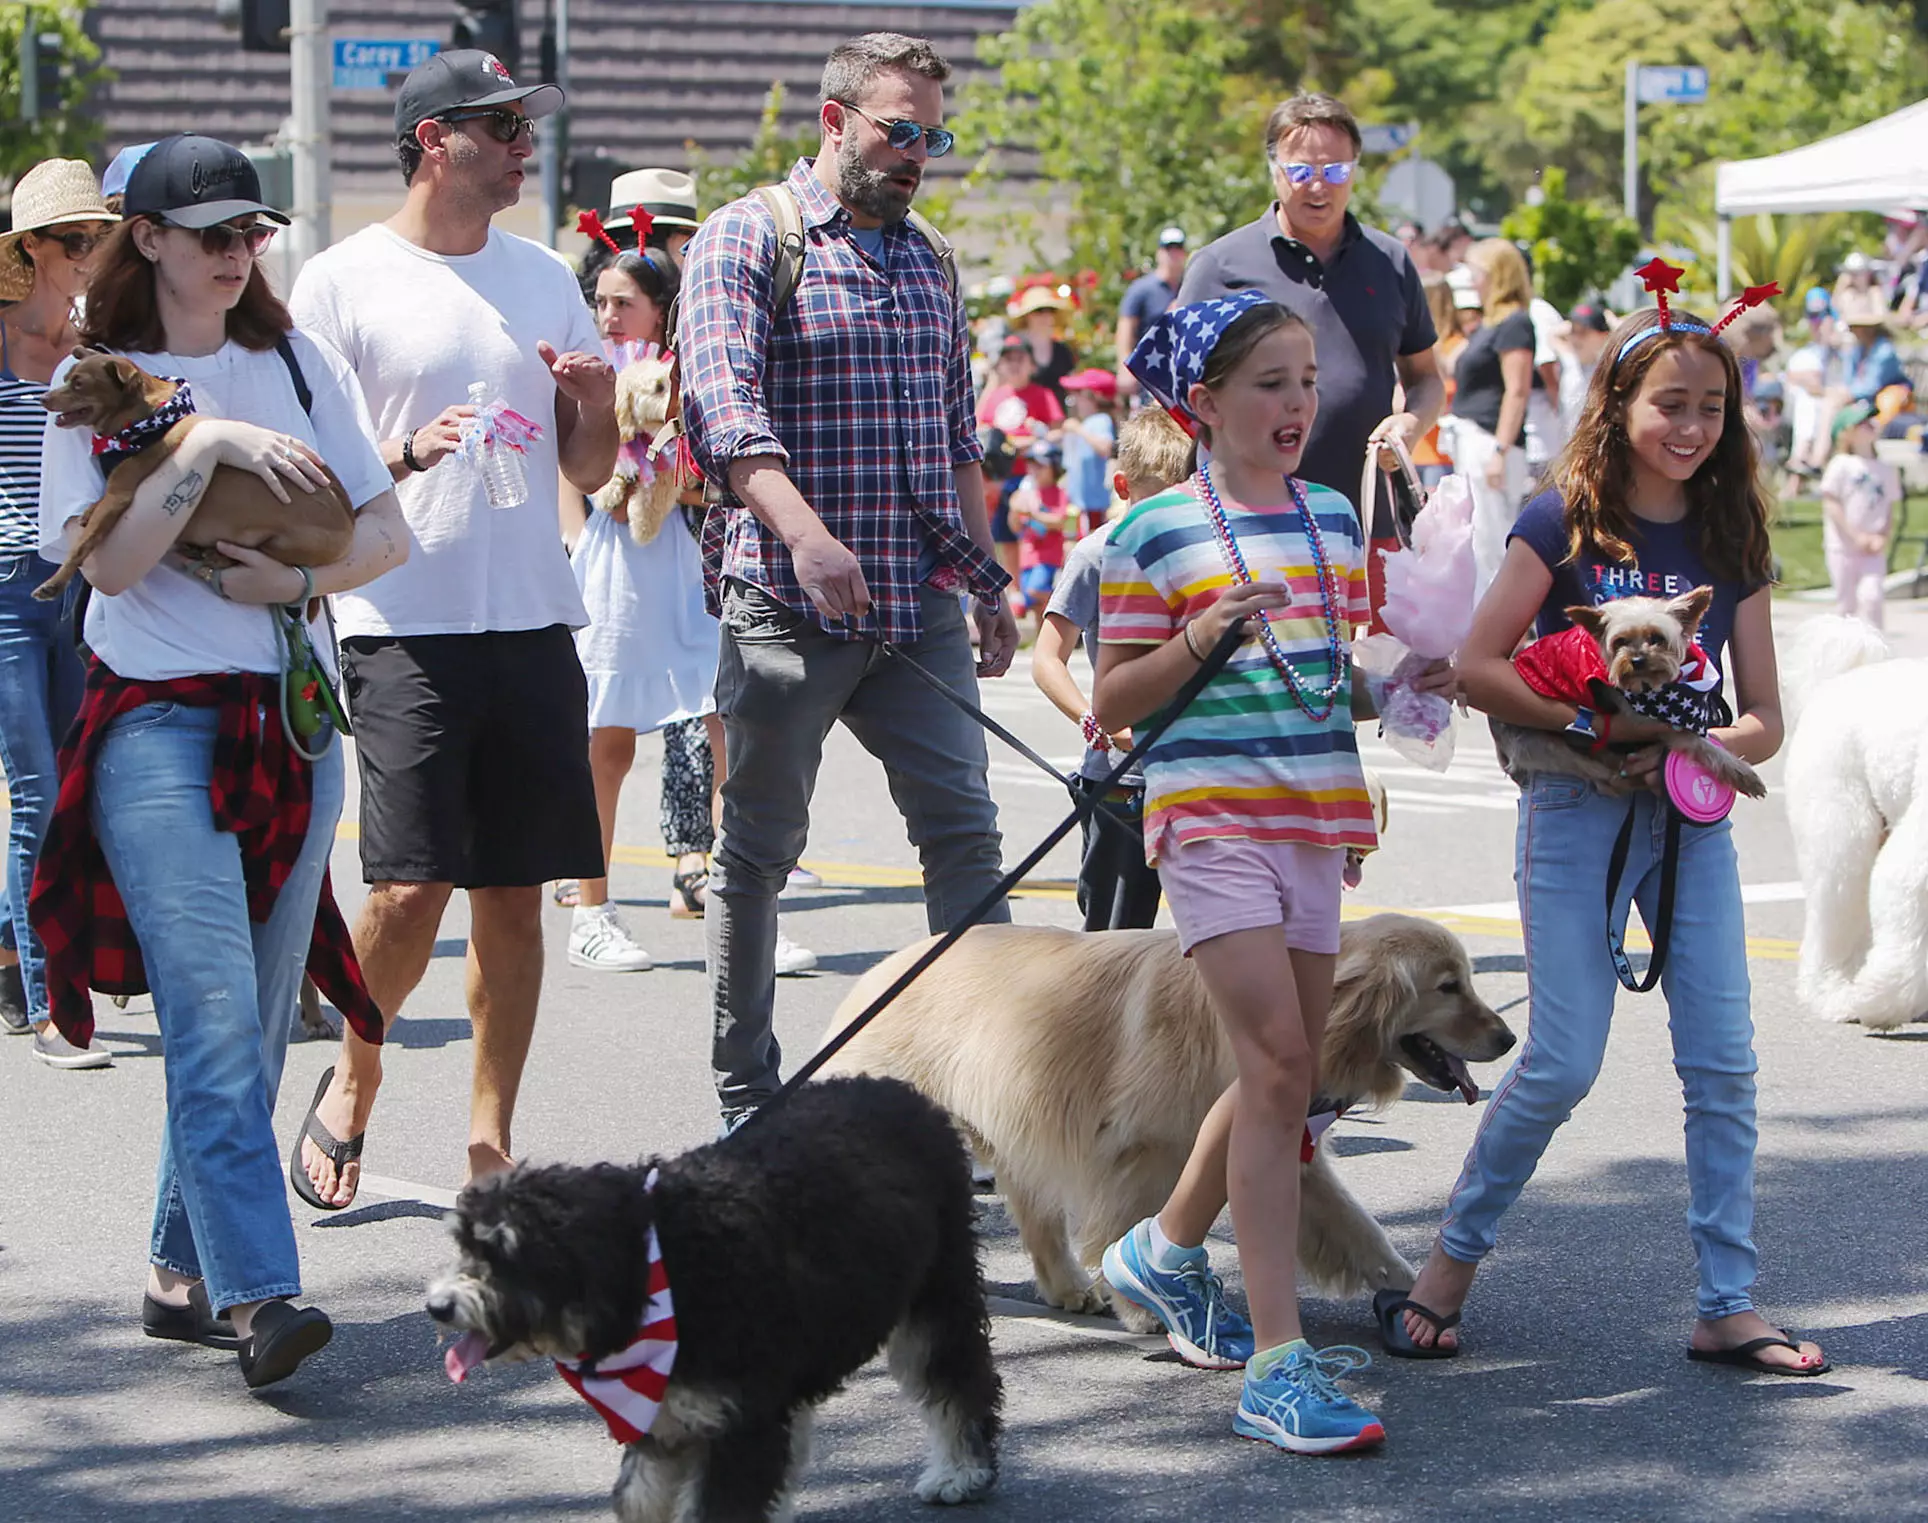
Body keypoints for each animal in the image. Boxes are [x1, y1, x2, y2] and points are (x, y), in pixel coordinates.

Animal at [34, 348, 354, 597]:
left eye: (79, 384)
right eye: (66, 378)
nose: (43, 398)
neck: (141, 423)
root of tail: (349, 521)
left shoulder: (120, 494)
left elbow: (82, 545)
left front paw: (55, 582)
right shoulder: (114, 492)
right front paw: (88, 510)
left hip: (289, 542)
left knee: (267, 557)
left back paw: (215, 555)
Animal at [420, 1079, 994, 1519]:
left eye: (504, 1252)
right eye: (464, 1243)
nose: (438, 1307)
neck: (665, 1264)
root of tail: (901, 1092)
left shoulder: (736, 1424)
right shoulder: (672, 1418)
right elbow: (640, 1498)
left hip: (937, 1299)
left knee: (960, 1381)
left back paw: (961, 1472)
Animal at [821, 917, 1511, 1326]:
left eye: (1468, 979)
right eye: (1448, 986)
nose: (1508, 1038)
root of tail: (878, 975)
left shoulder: (1287, 1148)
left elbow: (1356, 1227)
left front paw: (1413, 1292)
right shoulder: (1145, 1149)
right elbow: (1131, 1225)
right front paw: (1141, 1303)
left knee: (1037, 1216)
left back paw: (1067, 1286)